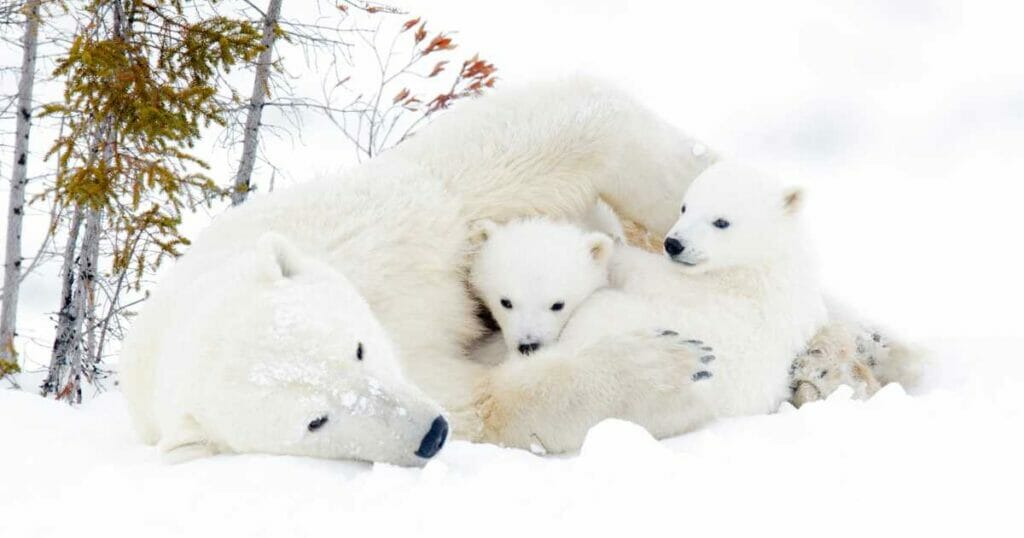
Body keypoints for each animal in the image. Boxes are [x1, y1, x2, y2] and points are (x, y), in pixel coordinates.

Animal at [119, 76, 722, 465]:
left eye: (358, 348)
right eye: (316, 420)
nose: (431, 434)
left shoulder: (383, 226)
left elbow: (518, 153)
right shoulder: (424, 381)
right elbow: (487, 404)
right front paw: (670, 367)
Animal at [472, 160, 829, 452]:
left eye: (721, 221)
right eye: (684, 206)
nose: (673, 243)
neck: (772, 260)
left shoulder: (718, 288)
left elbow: (641, 274)